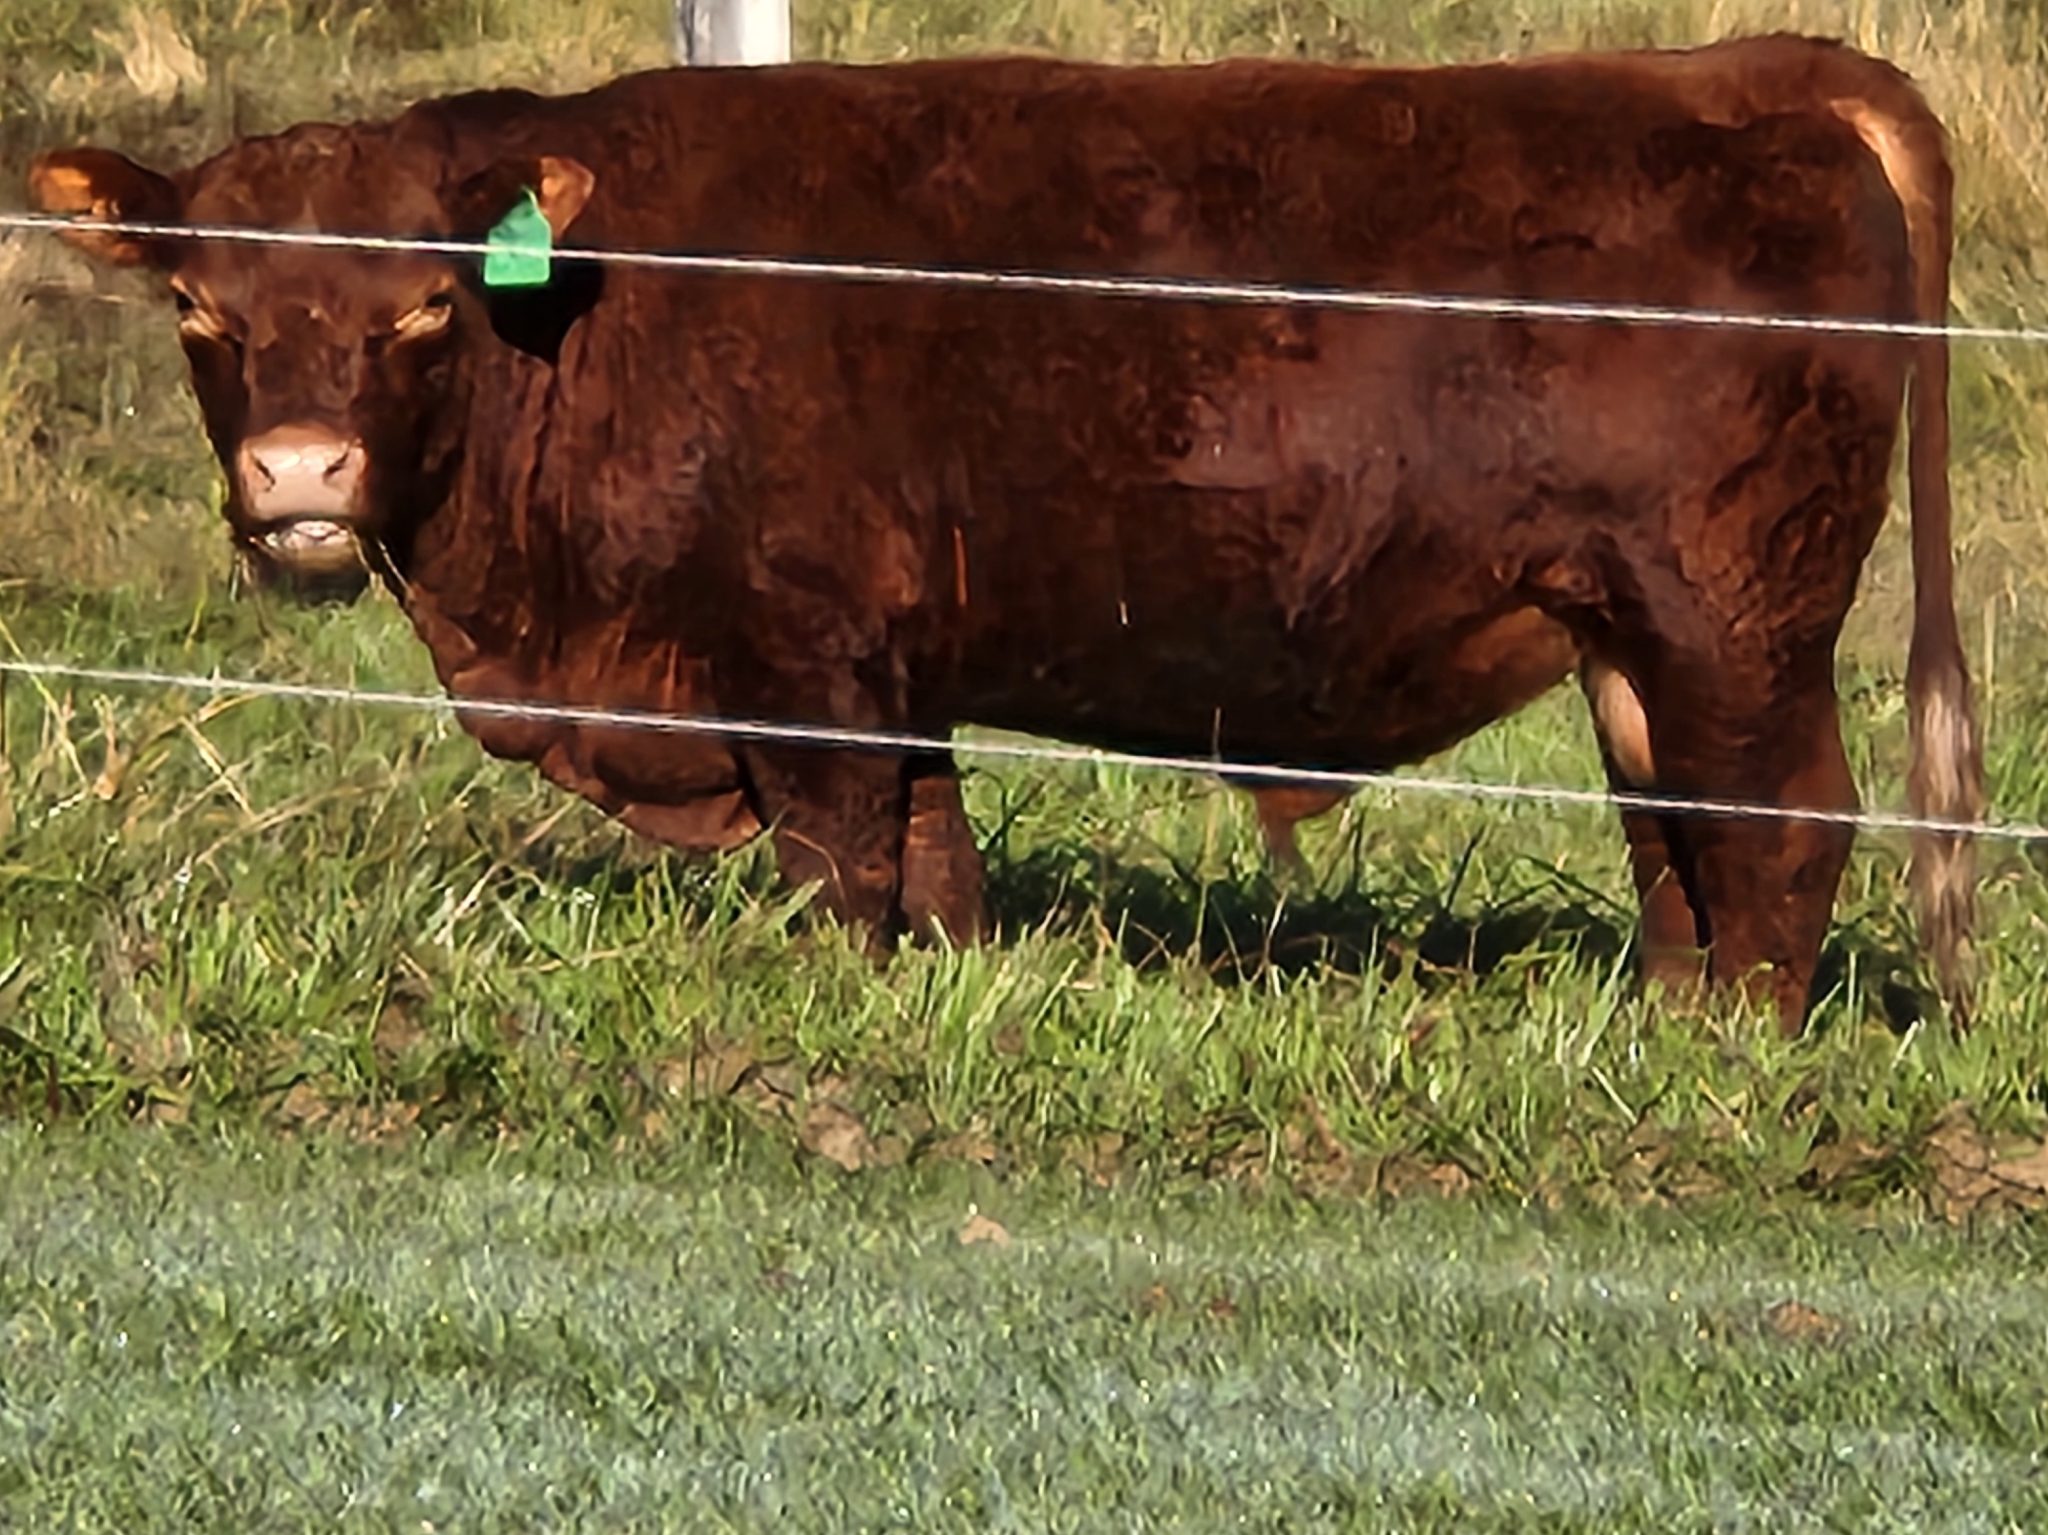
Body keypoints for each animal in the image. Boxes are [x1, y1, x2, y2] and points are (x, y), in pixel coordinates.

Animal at [28, 32, 1982, 1031]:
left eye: (424, 306)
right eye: (199, 311)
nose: (298, 475)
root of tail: (1741, 73)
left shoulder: (805, 669)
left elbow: (848, 874)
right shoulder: (891, 676)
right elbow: (937, 866)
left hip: (1729, 621)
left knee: (1784, 827)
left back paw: (1739, 1058)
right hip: (1629, 638)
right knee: (1678, 836)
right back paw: (1661, 1027)